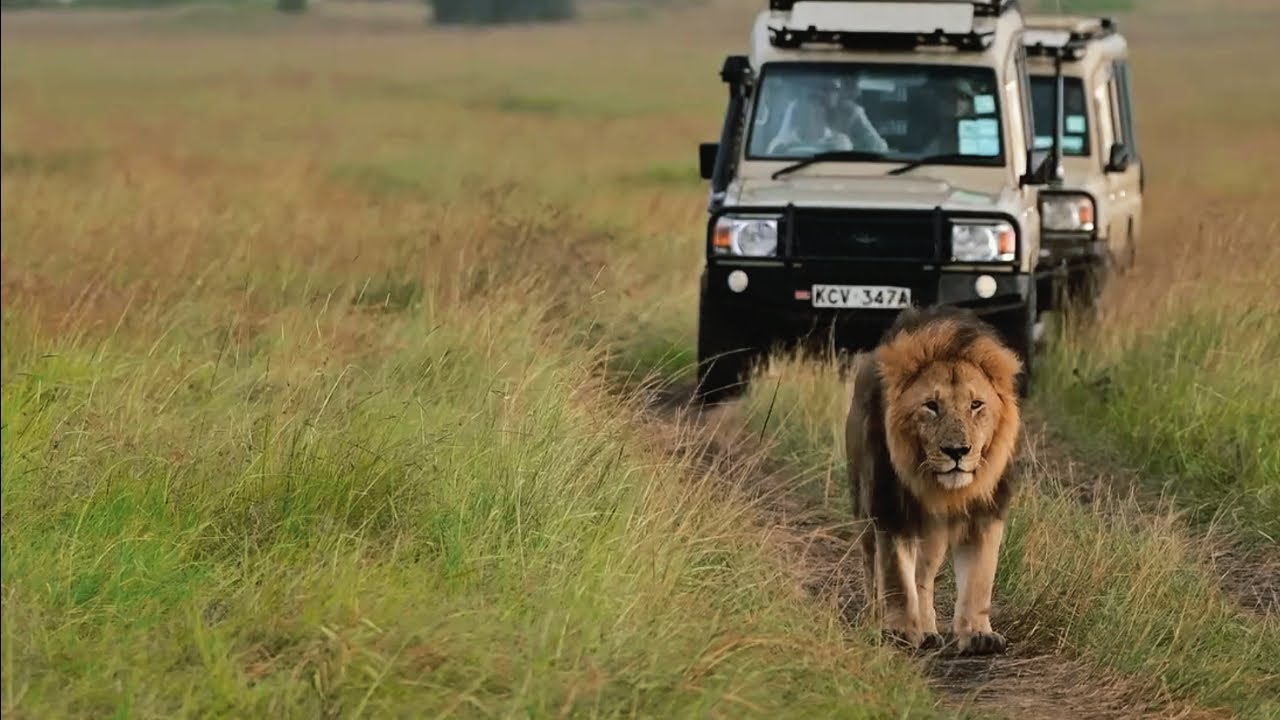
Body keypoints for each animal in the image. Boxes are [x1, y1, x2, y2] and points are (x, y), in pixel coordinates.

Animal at [845, 305, 1023, 655]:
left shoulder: (986, 512)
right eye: (931, 405)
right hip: (864, 504)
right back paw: (881, 619)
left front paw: (977, 634)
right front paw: (900, 631)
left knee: (924, 577)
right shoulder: (892, 509)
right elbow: (897, 578)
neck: (943, 490)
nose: (957, 451)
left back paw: (927, 628)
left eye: (976, 405)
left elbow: (980, 577)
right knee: (873, 567)